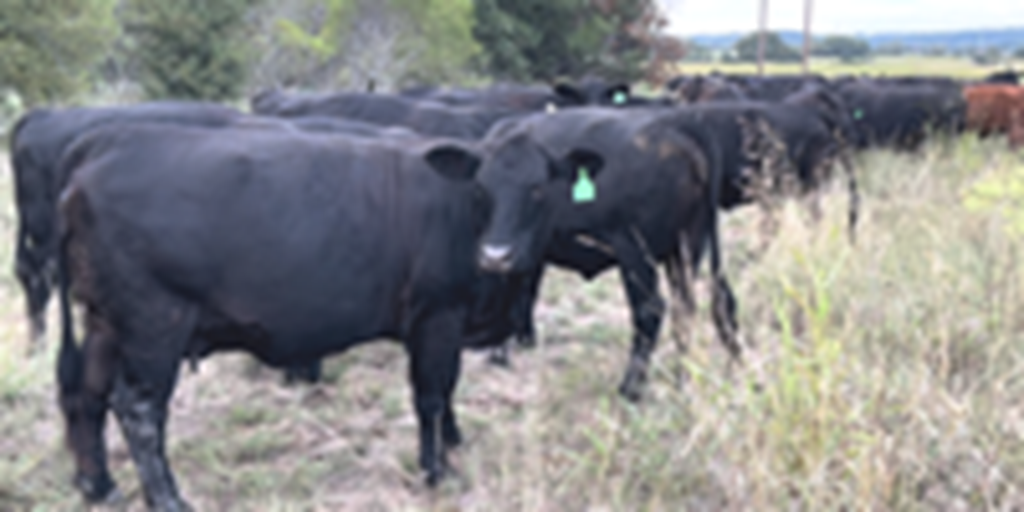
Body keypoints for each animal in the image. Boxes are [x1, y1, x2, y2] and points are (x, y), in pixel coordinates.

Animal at [55, 122, 524, 510]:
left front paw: (454, 444)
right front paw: (436, 470)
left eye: (535, 188)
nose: (498, 253)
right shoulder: (439, 316)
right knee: (138, 409)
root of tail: (103, 142)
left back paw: (98, 486)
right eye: (482, 191)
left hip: (104, 324)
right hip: (154, 326)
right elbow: (432, 395)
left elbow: (446, 390)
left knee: (86, 394)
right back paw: (167, 499)